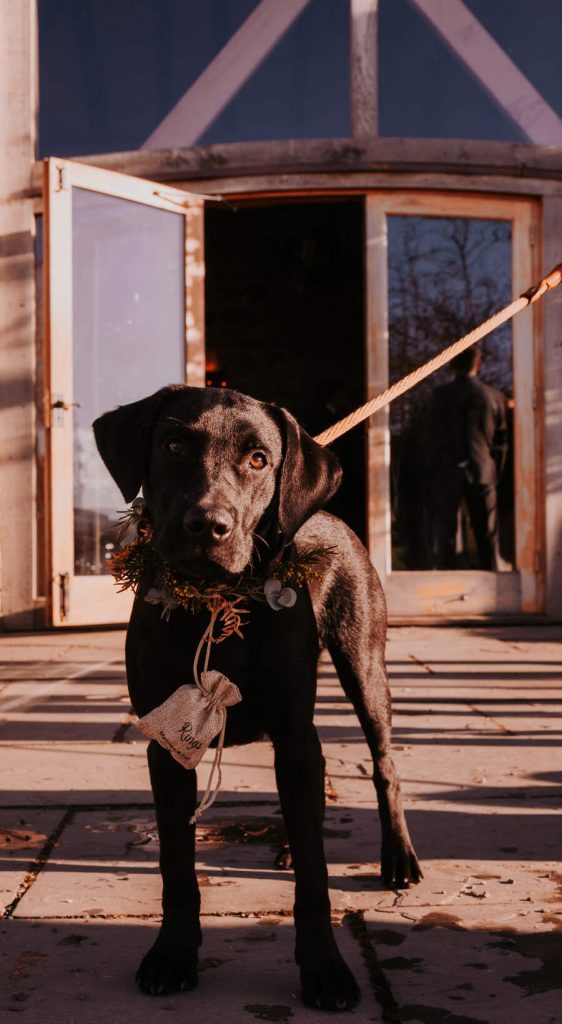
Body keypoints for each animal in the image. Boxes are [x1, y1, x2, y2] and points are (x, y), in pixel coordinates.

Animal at [94, 385, 417, 1007]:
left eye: (259, 459)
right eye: (174, 445)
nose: (208, 525)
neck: (218, 607)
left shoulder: (296, 732)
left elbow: (315, 878)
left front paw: (325, 968)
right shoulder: (166, 744)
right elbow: (176, 865)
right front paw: (172, 955)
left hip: (364, 665)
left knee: (384, 766)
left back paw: (399, 858)